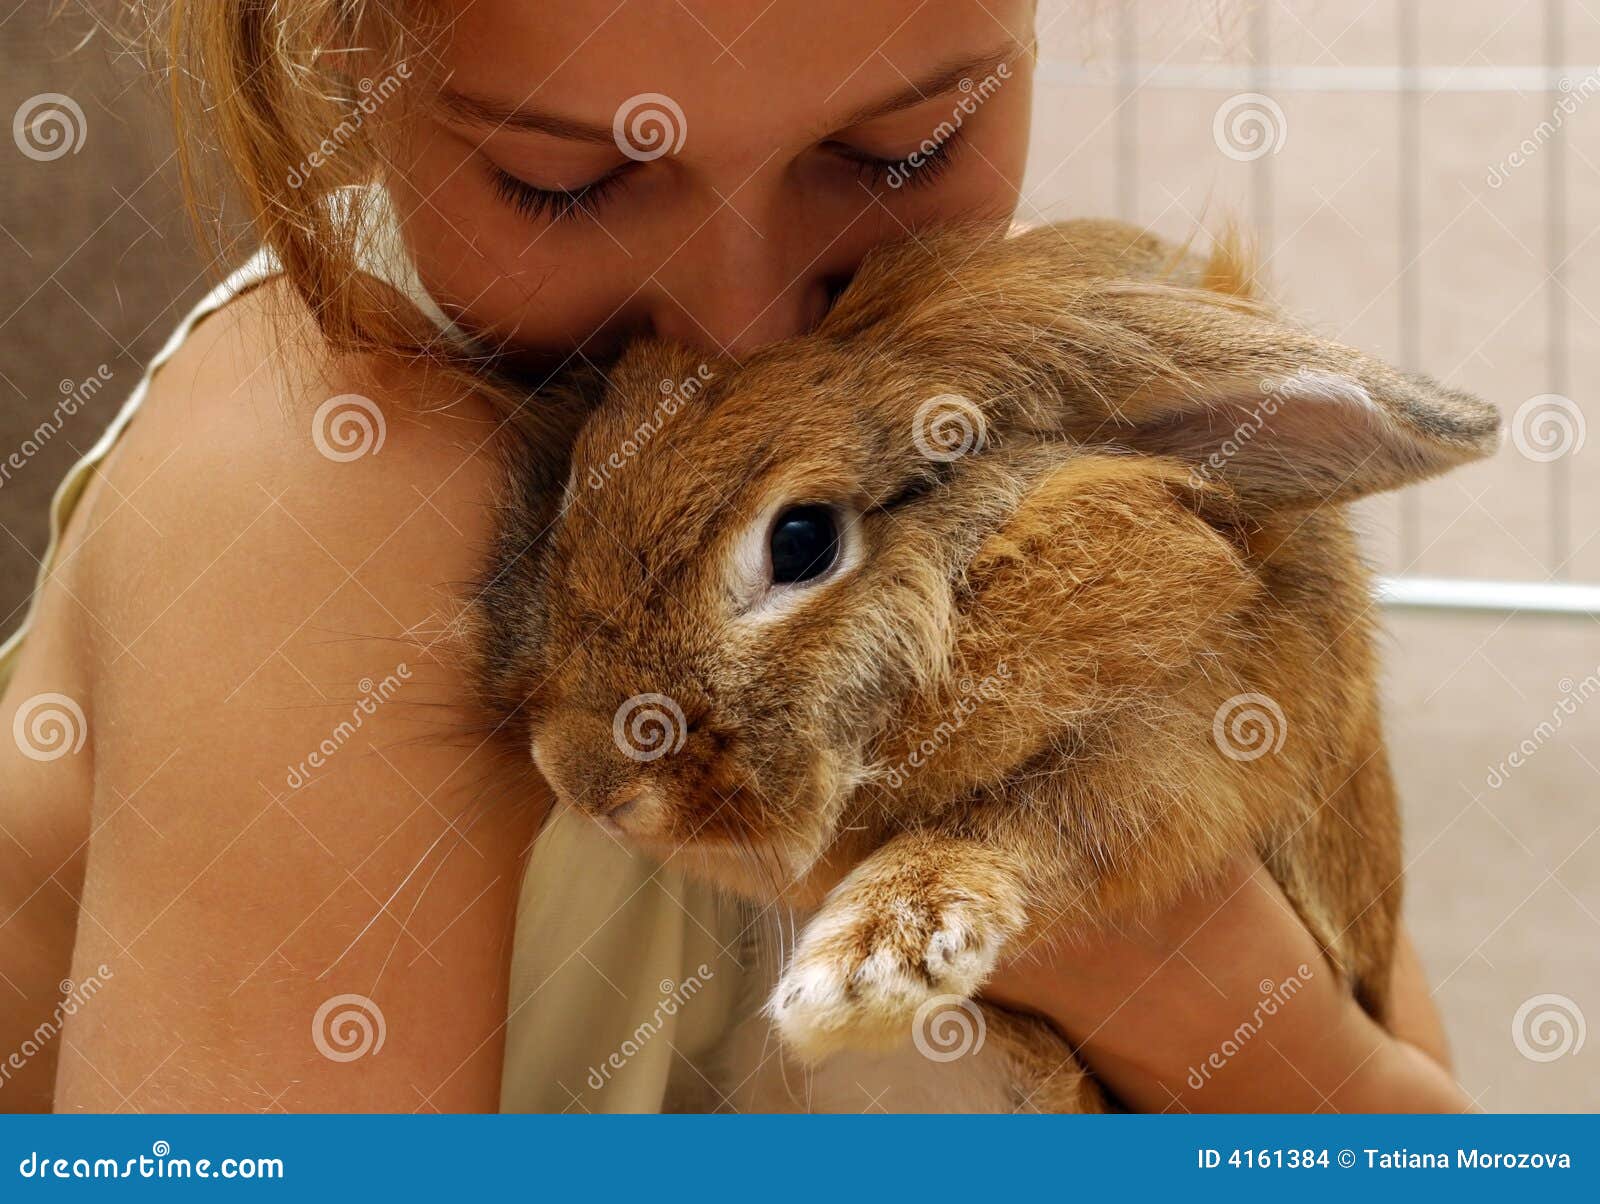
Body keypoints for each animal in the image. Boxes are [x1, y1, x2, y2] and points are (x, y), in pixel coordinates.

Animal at [471, 218, 1501, 1112]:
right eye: (578, 479)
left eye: (801, 541)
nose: (580, 775)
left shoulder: (1186, 751)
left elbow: (1025, 827)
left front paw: (862, 977)